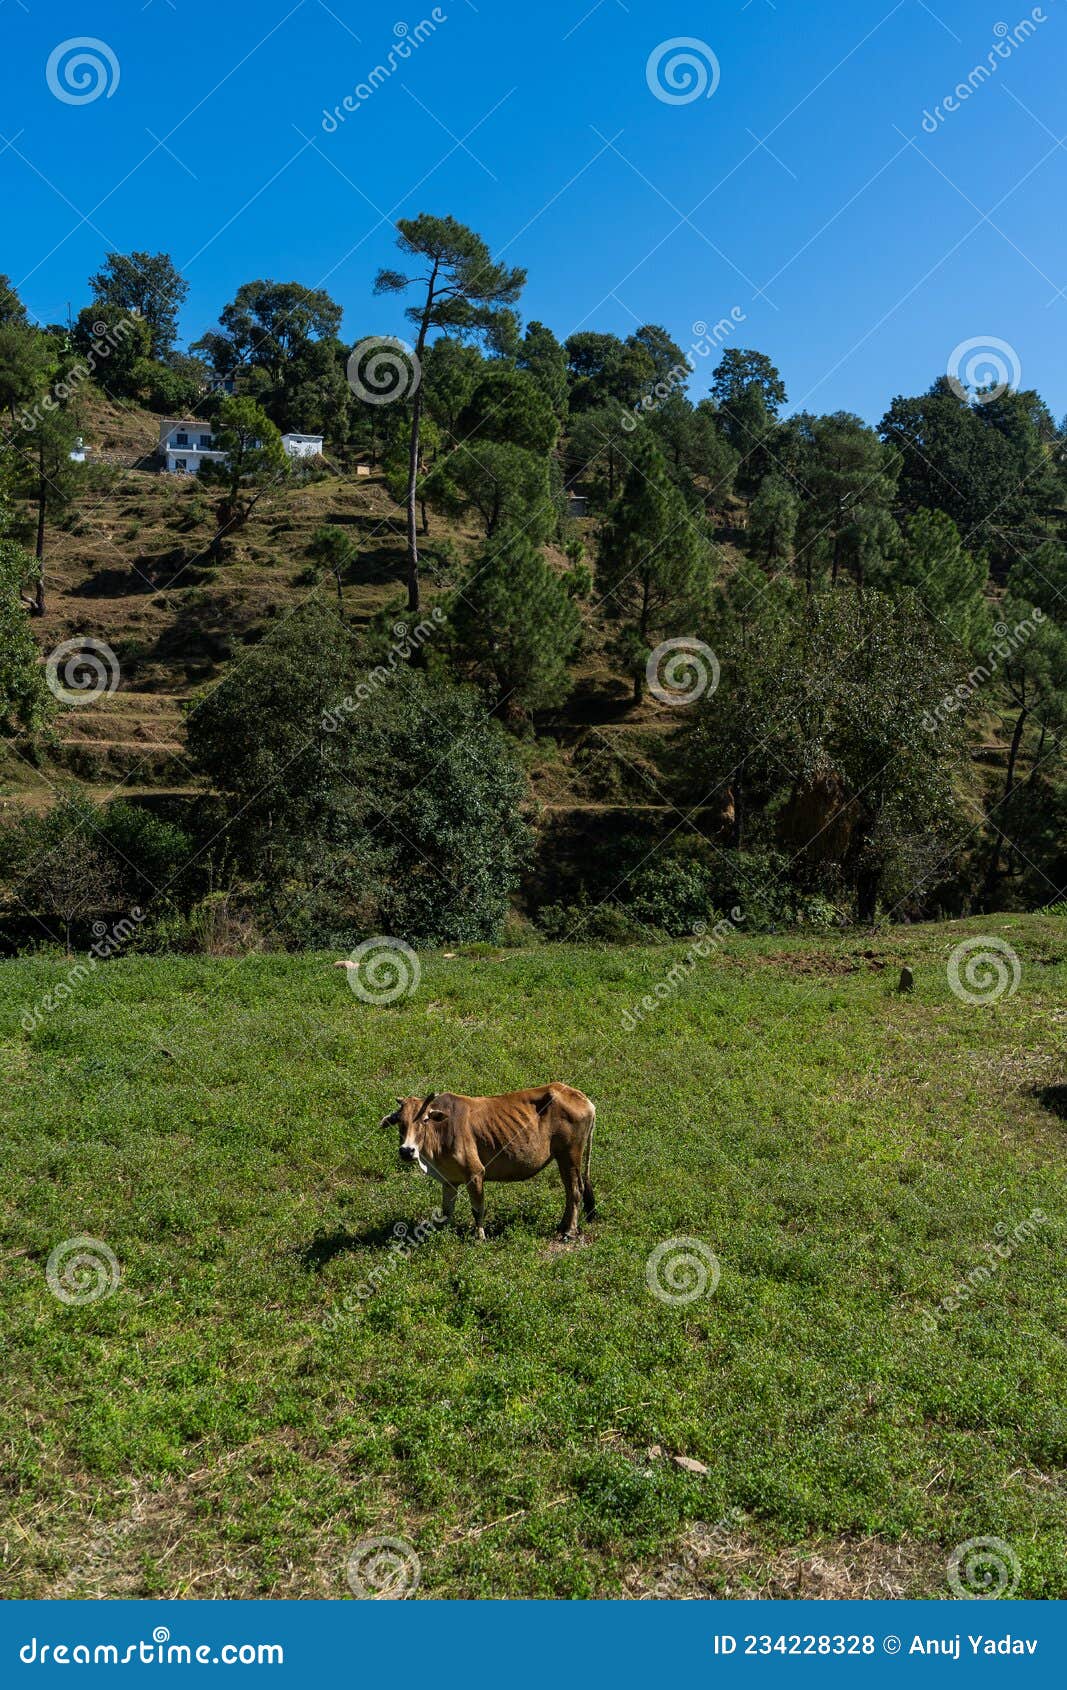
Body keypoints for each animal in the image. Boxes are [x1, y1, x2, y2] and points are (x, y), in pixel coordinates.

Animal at [379, 1086, 597, 1240]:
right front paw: (442, 1233)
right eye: (400, 1121)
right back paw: (562, 1226)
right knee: (569, 1190)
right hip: (563, 1158)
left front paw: (480, 1237)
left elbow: (477, 1209)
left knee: (575, 1189)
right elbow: (447, 1211)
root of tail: (581, 1097)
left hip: (570, 1155)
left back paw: (569, 1232)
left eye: (425, 1120)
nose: (407, 1150)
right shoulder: (449, 1180)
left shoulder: (475, 1173)